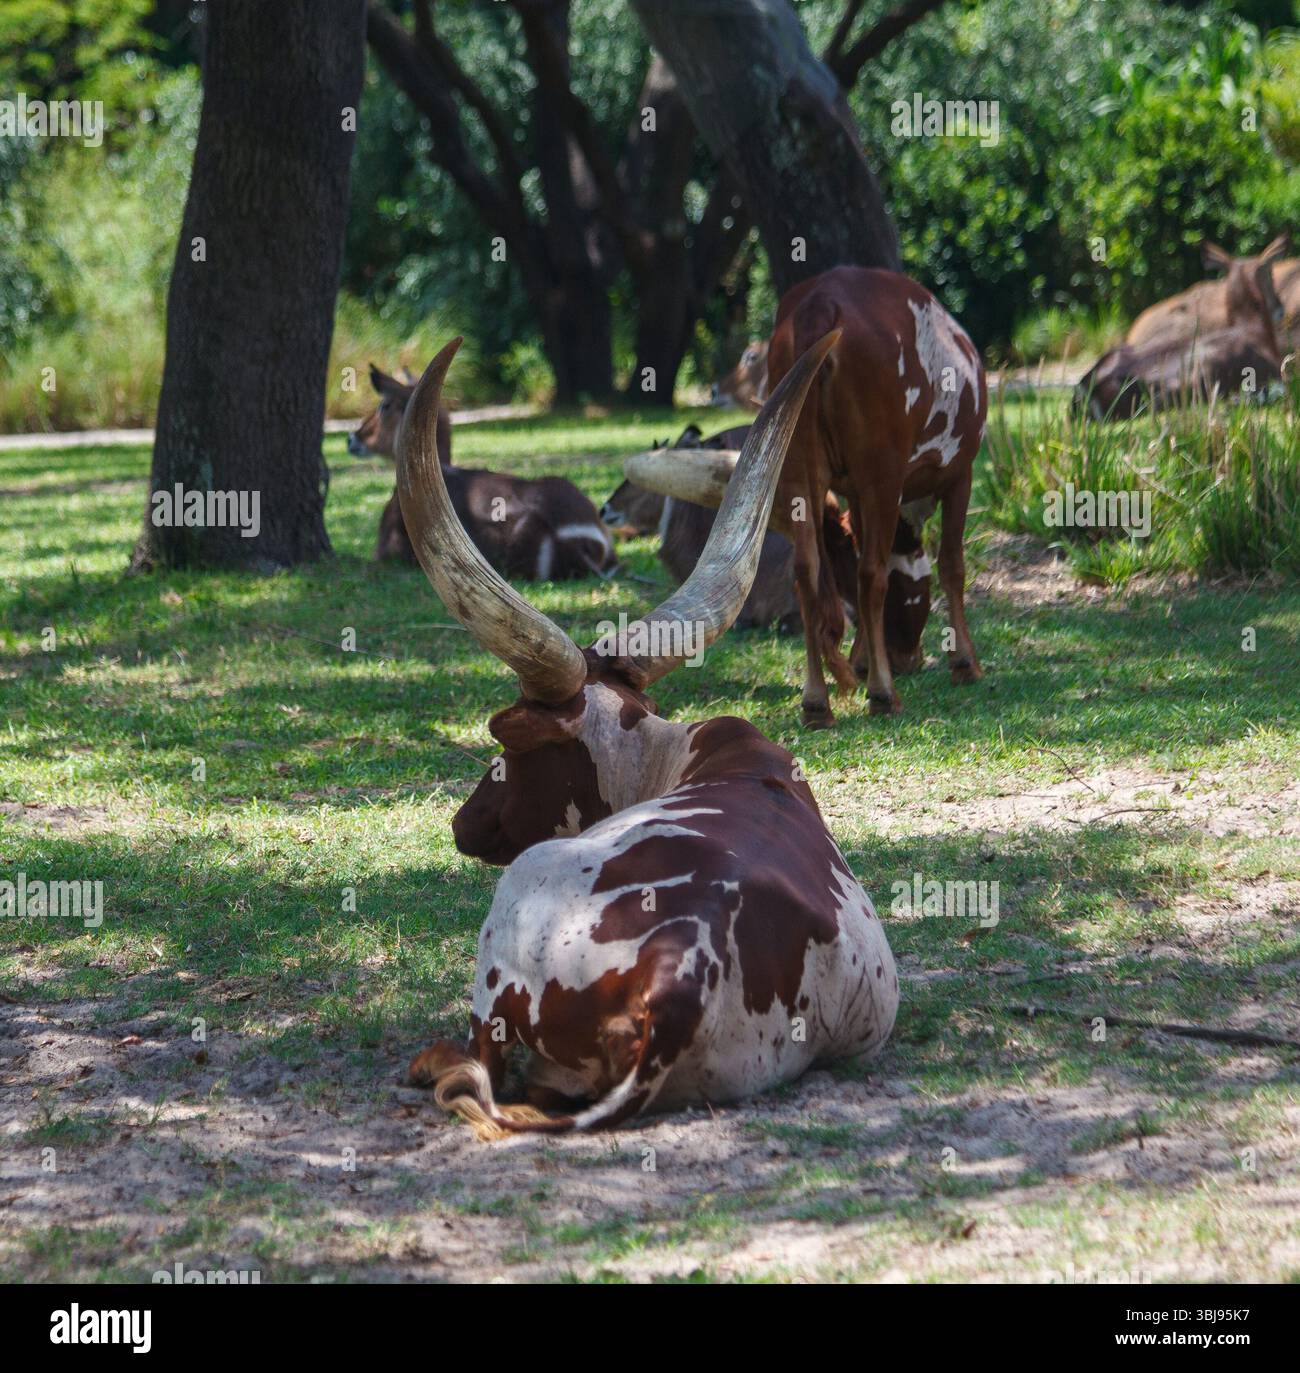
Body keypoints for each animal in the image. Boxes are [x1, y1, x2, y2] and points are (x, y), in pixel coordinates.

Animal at [397, 334, 898, 1137]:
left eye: (511, 751)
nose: (461, 822)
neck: (674, 757)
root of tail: (671, 991)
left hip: (510, 919)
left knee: (478, 1057)